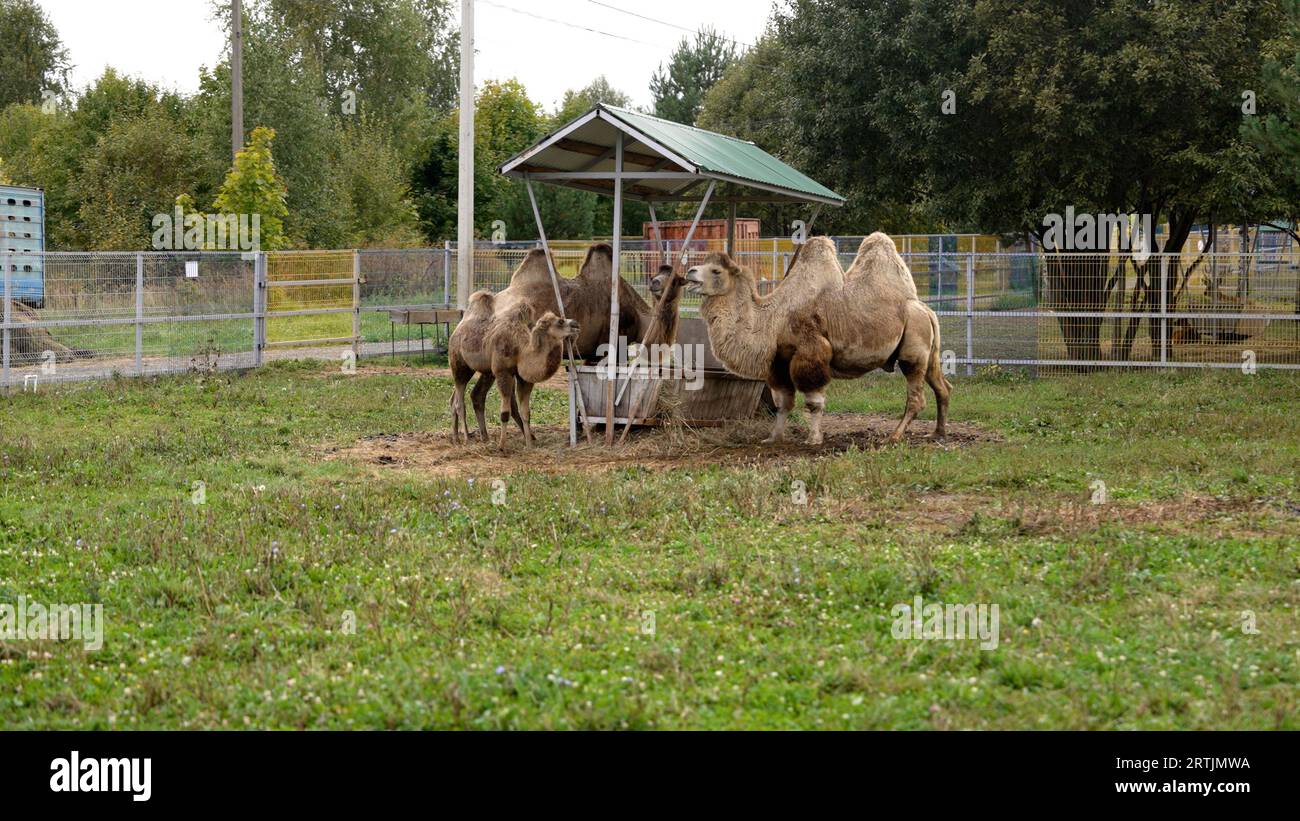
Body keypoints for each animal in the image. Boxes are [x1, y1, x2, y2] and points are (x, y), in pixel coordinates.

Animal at [685, 233, 950, 446]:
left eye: (716, 271)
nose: (690, 271)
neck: (773, 318)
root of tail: (926, 310)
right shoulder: (780, 361)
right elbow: (784, 403)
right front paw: (773, 438)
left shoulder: (811, 351)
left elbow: (813, 402)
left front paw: (813, 439)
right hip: (928, 351)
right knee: (942, 387)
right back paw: (937, 433)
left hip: (913, 347)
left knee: (916, 397)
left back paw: (894, 436)